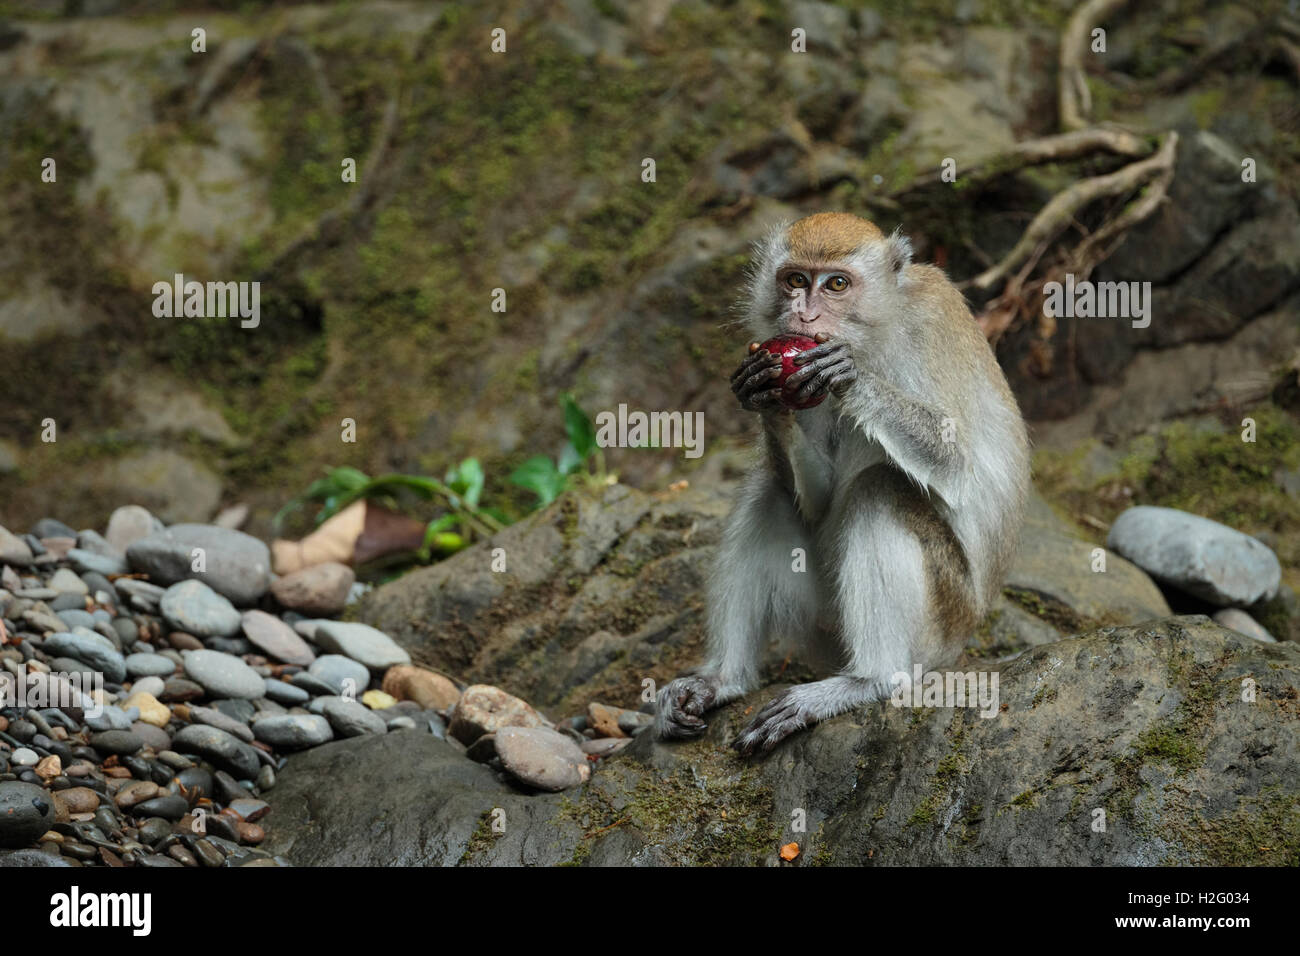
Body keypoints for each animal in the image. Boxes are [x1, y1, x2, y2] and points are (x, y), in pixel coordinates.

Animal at [655, 212, 1030, 755]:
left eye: (836, 284)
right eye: (795, 280)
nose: (804, 316)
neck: (876, 331)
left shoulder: (932, 325)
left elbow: (956, 462)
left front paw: (850, 378)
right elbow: (816, 496)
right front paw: (766, 398)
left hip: (943, 625)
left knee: (881, 488)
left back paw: (869, 680)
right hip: (824, 625)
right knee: (768, 493)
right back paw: (723, 679)